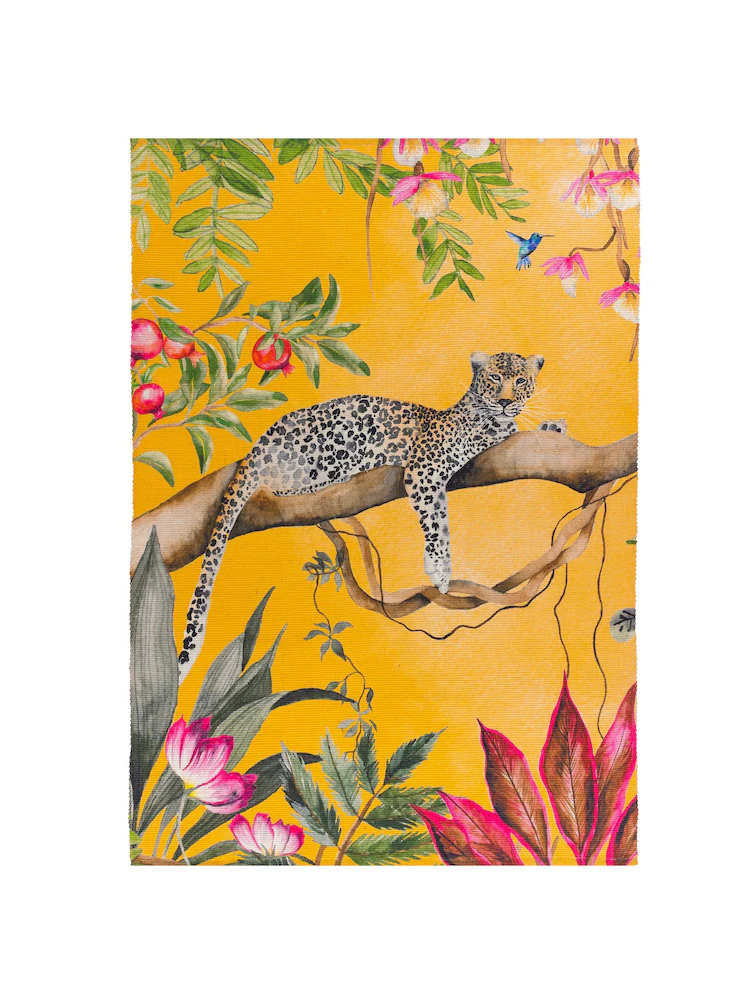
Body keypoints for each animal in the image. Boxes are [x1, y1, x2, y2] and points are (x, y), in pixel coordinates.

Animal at [178, 350, 566, 668]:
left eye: (520, 380)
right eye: (495, 379)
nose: (505, 402)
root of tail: (256, 447)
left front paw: (552, 426)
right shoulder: (425, 468)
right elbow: (437, 520)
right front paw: (440, 570)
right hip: (331, 444)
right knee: (283, 484)